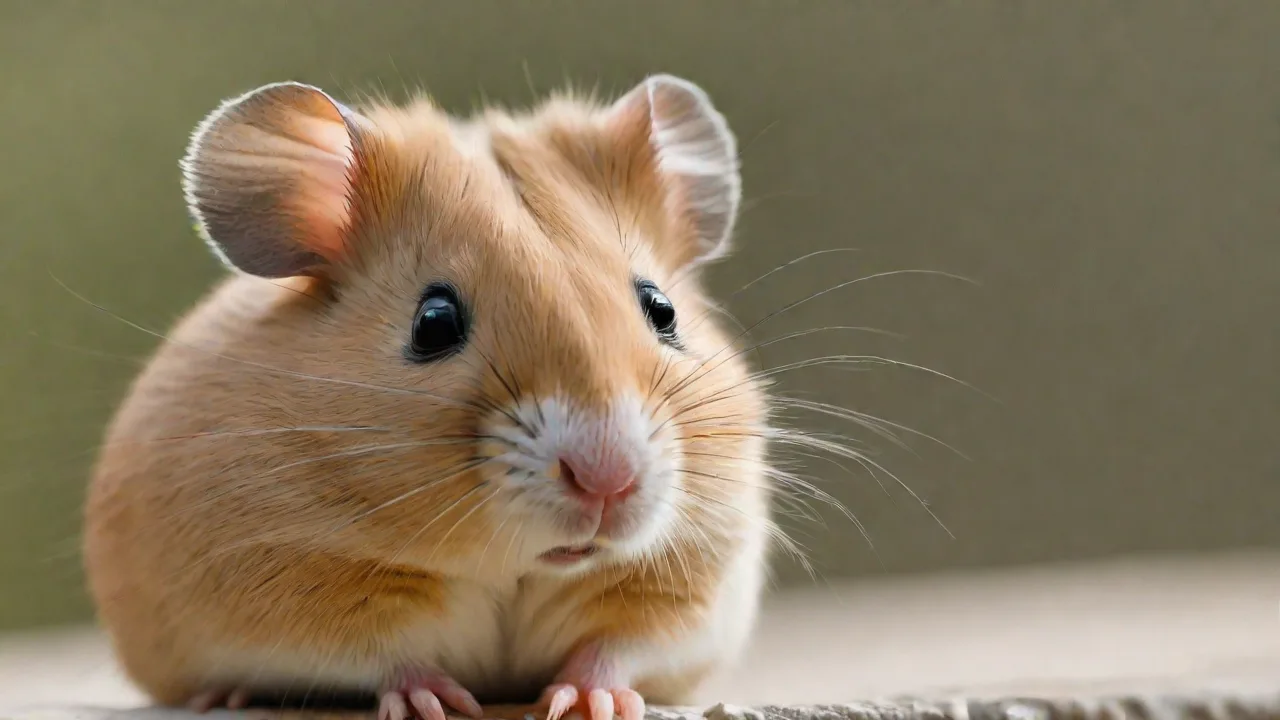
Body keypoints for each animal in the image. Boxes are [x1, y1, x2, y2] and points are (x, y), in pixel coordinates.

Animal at [83, 74, 773, 720]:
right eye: (433, 324)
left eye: (663, 310)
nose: (609, 482)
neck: (522, 564)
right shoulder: (291, 589)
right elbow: (385, 655)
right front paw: (437, 702)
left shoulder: (692, 586)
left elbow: (615, 647)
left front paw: (582, 701)